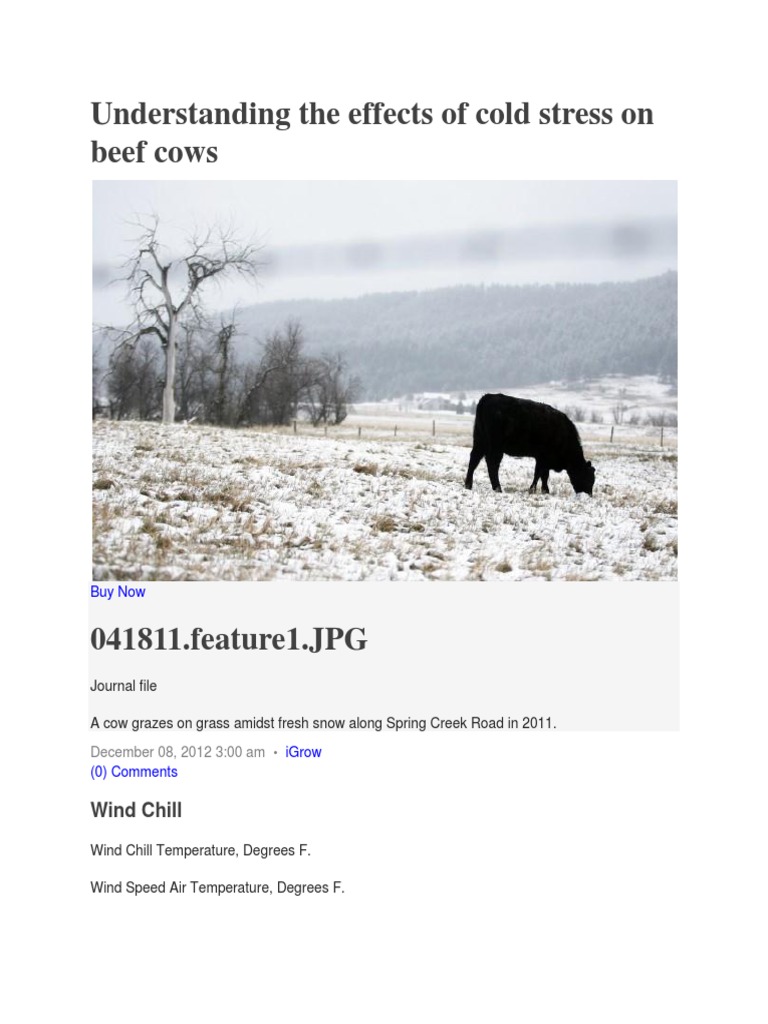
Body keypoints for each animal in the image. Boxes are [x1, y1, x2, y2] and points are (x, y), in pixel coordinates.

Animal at [465, 393, 595, 495]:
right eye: (588, 478)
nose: (589, 495)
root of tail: (487, 397)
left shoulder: (541, 458)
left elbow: (541, 474)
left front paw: (541, 490)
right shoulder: (543, 458)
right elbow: (540, 474)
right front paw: (537, 490)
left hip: (480, 440)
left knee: (474, 459)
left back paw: (468, 485)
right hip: (495, 446)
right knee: (492, 463)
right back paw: (497, 488)